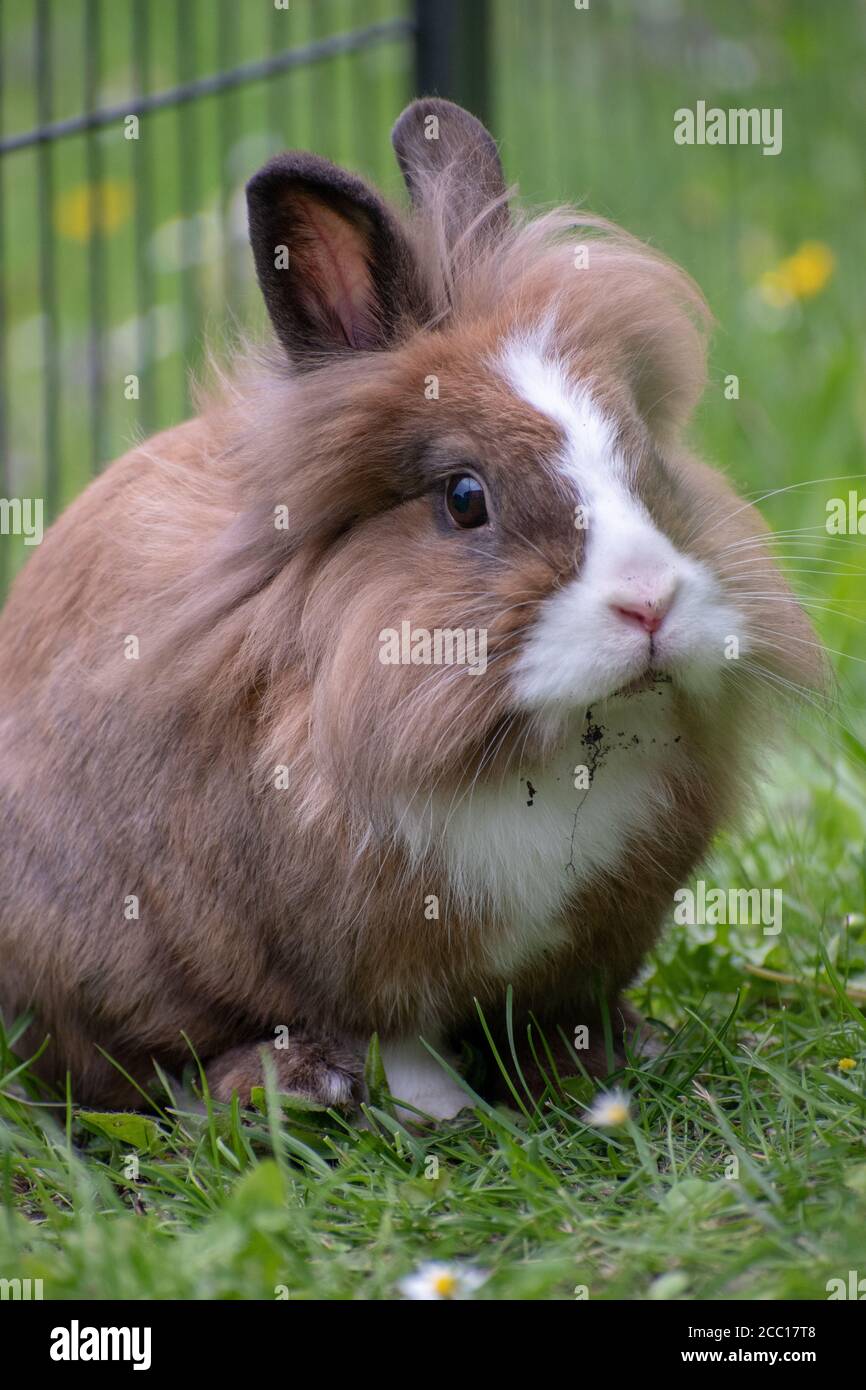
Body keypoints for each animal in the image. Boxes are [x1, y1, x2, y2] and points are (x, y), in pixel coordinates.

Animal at [0, 99, 824, 1118]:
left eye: (648, 457)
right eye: (465, 498)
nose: (649, 603)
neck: (551, 748)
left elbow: (564, 1010)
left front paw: (602, 1064)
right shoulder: (355, 958)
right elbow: (396, 1035)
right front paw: (439, 1112)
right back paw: (294, 1085)